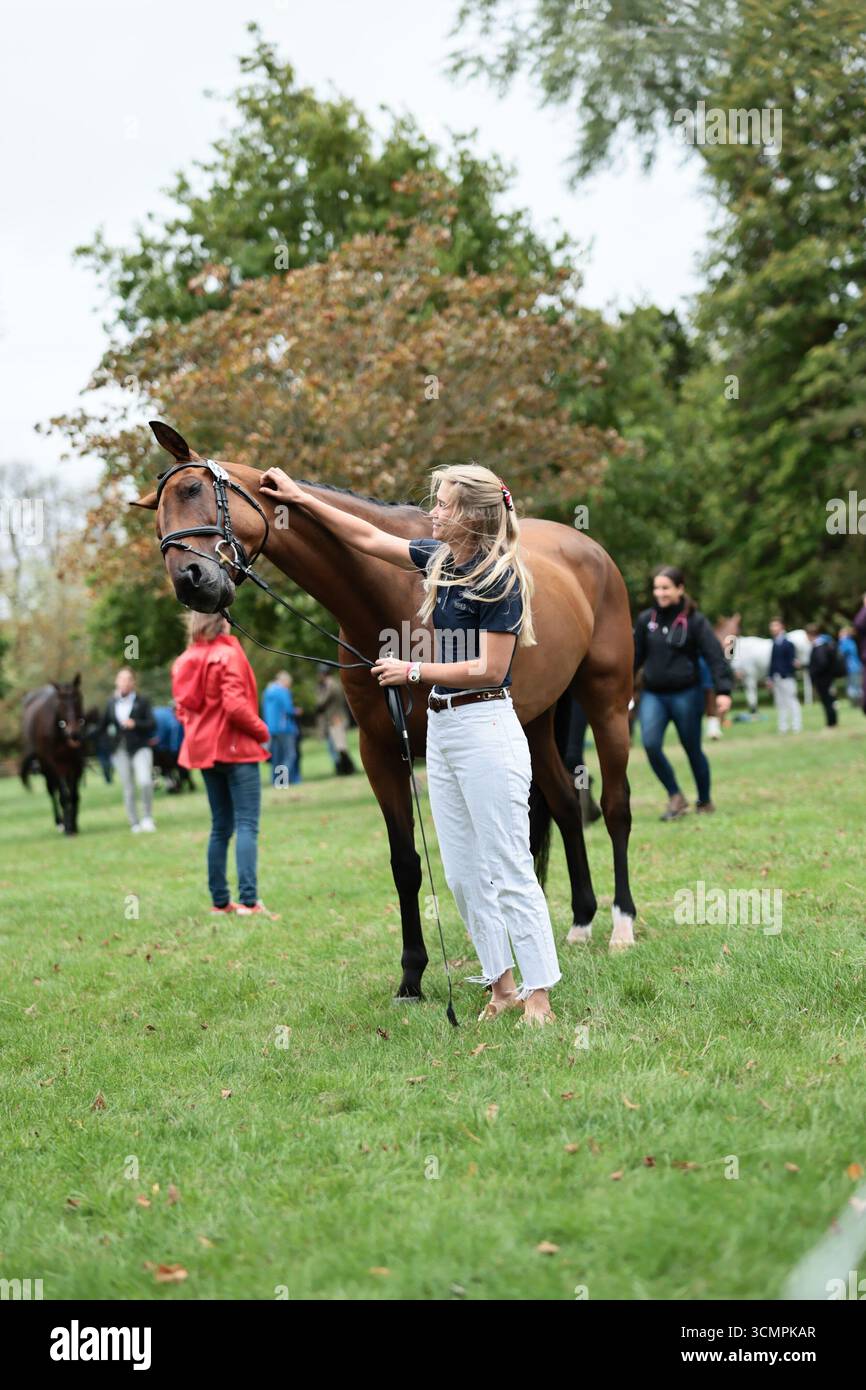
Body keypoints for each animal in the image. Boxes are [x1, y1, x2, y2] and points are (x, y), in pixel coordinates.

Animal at [21, 676, 86, 834]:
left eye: (78, 698)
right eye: (60, 703)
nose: (74, 733)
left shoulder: (77, 763)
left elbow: (74, 795)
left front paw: (74, 825)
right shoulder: (55, 764)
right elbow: (63, 795)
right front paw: (68, 828)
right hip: (46, 767)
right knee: (52, 791)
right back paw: (60, 823)